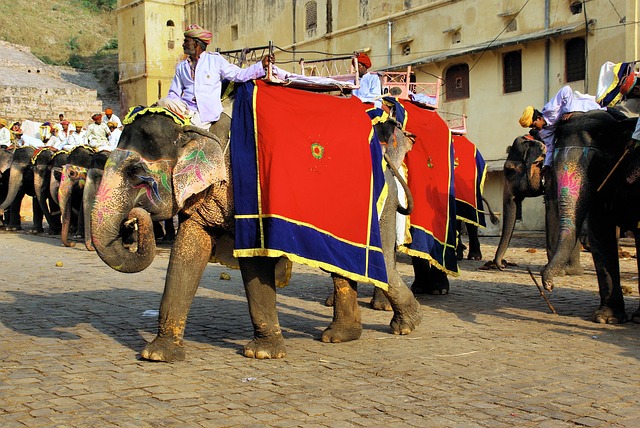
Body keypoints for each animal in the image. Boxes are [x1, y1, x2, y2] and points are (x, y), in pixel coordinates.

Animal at [91, 107, 422, 362]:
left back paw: (406, 325)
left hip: (378, 208)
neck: (201, 130)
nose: (132, 220)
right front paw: (157, 355)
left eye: (136, 173)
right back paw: (341, 336)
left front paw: (262, 354)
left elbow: (253, 260)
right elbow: (188, 250)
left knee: (381, 265)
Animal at [540, 110, 639, 324]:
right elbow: (599, 232)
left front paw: (636, 318)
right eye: (553, 161)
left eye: (597, 162)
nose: (549, 286)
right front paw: (606, 319)